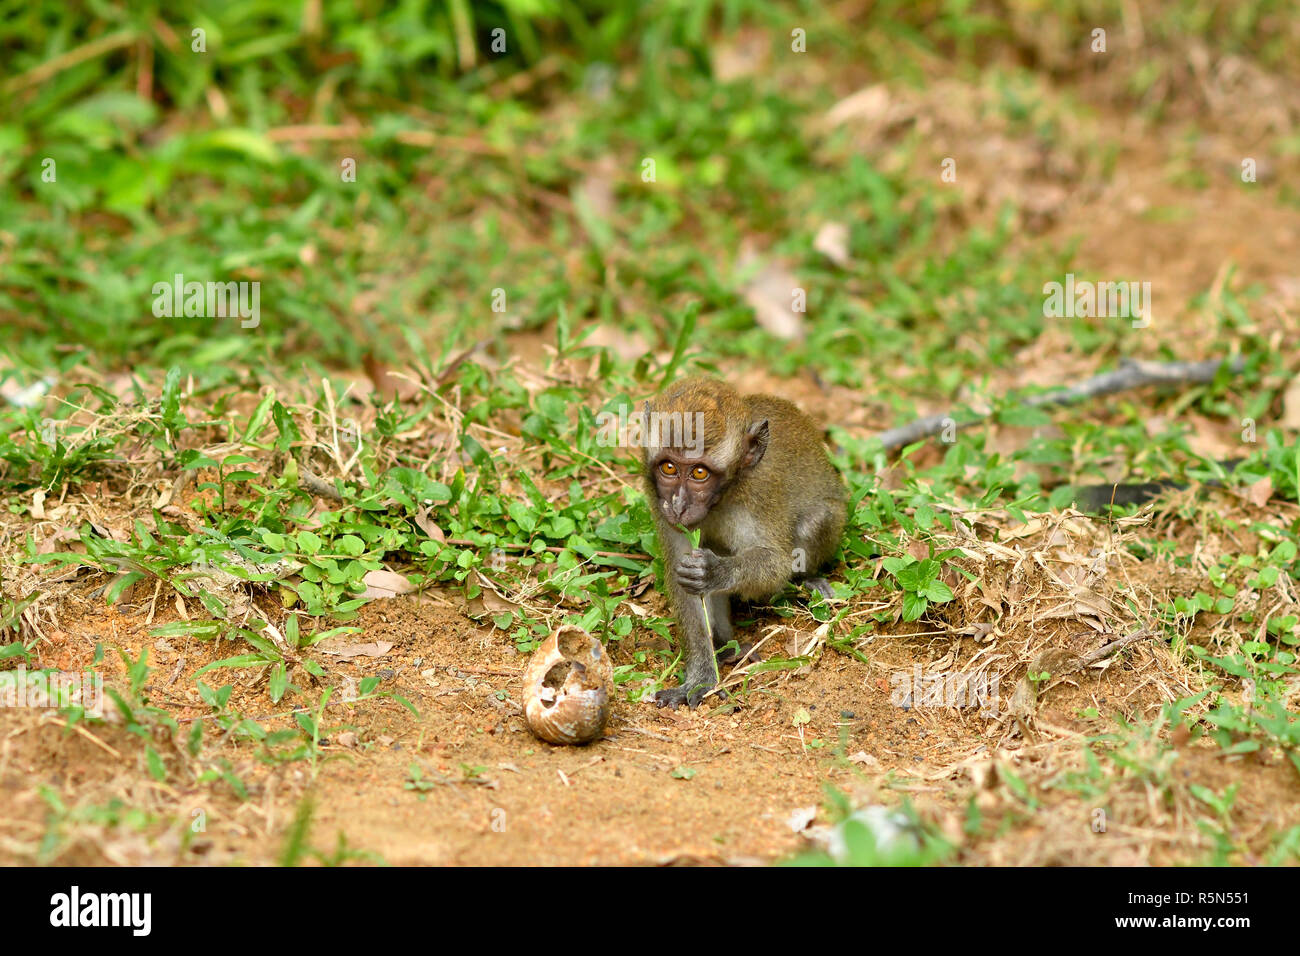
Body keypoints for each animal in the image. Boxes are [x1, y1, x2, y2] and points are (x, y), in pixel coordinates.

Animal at [641, 376, 847, 709]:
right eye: (669, 468)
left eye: (700, 472)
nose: (678, 505)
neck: (723, 495)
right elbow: (682, 578)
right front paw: (701, 675)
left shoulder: (760, 492)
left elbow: (776, 564)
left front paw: (714, 572)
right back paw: (726, 644)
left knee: (816, 520)